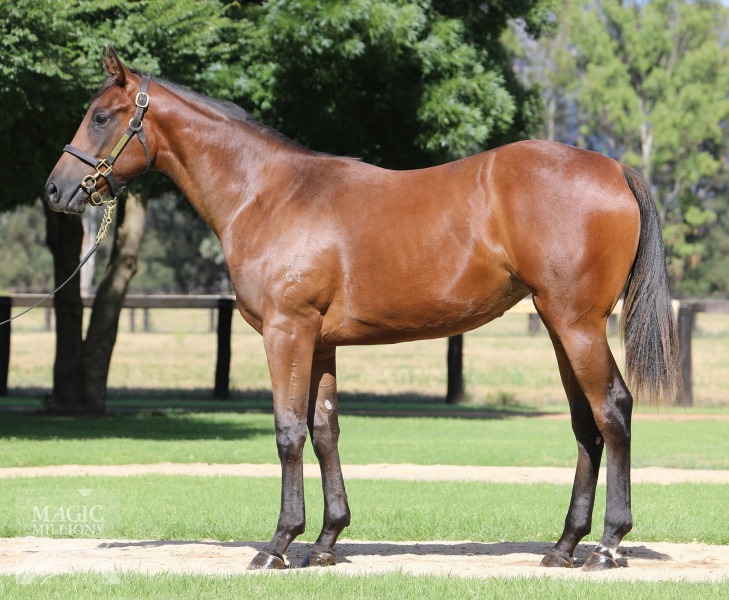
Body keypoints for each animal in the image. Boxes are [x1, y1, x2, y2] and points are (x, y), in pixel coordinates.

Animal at [45, 48, 681, 571]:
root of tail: (613, 168)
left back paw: (607, 546)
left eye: (101, 116)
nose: (55, 190)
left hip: (576, 325)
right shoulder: (321, 342)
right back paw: (564, 546)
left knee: (613, 411)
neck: (267, 193)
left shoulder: (286, 332)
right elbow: (325, 430)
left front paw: (279, 544)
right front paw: (326, 542)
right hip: (558, 326)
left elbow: (288, 430)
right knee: (586, 425)